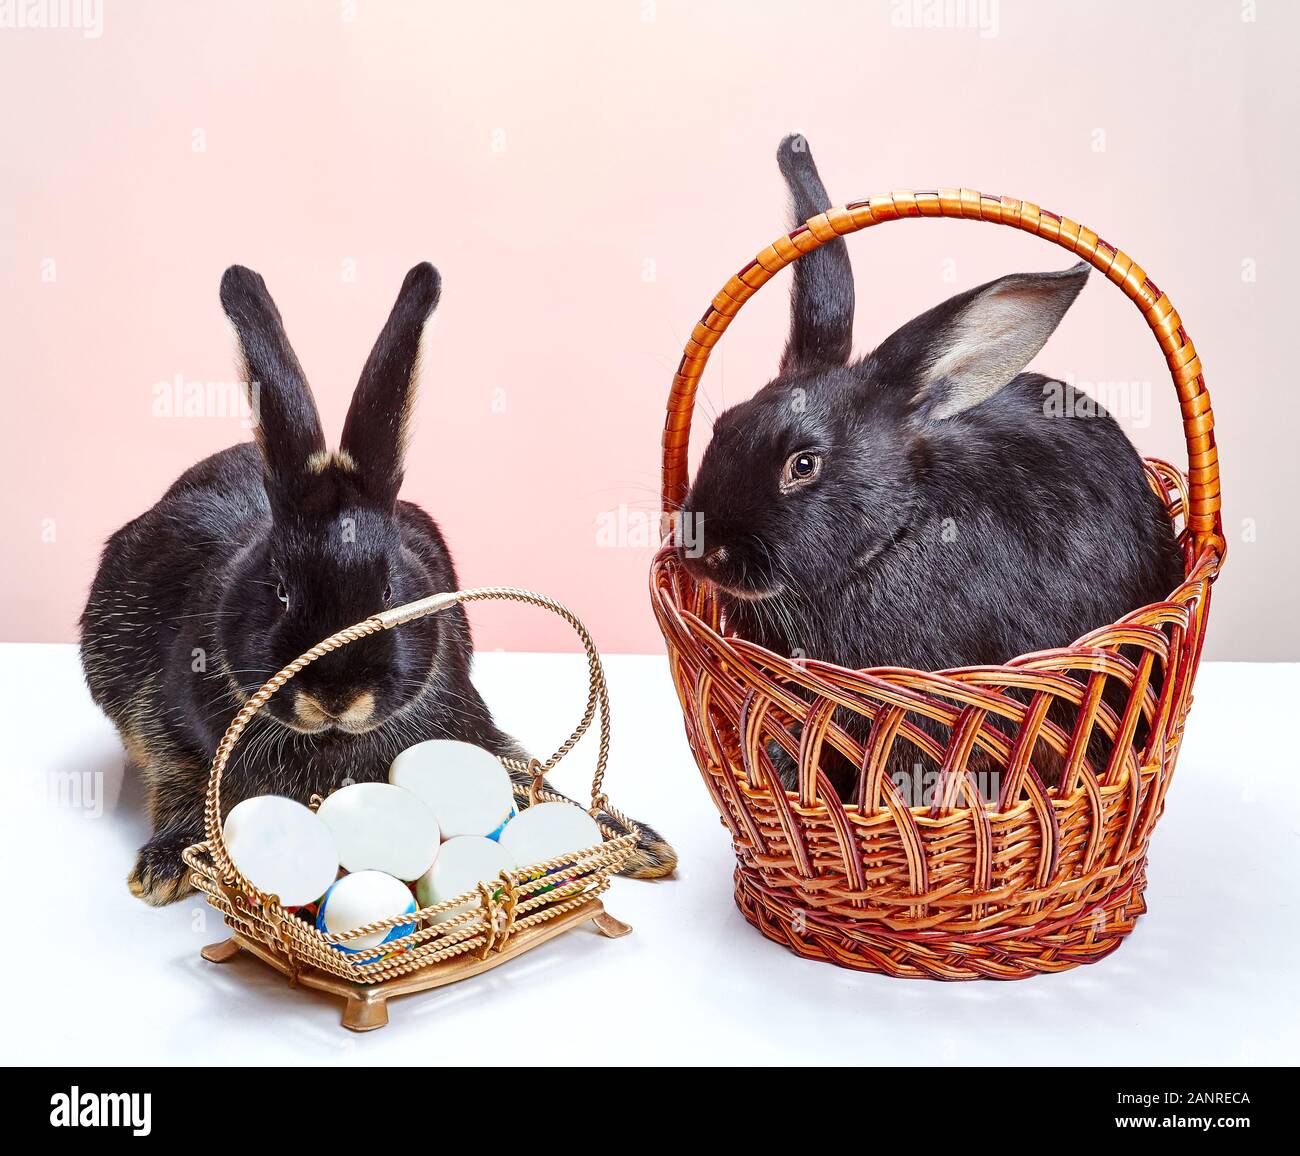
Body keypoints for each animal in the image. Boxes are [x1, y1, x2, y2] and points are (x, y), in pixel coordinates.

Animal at [81, 262, 676, 905]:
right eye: (279, 590)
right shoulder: (169, 726)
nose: (336, 696)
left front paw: (639, 843)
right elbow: (184, 786)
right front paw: (162, 869)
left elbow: (520, 768)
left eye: (390, 589)